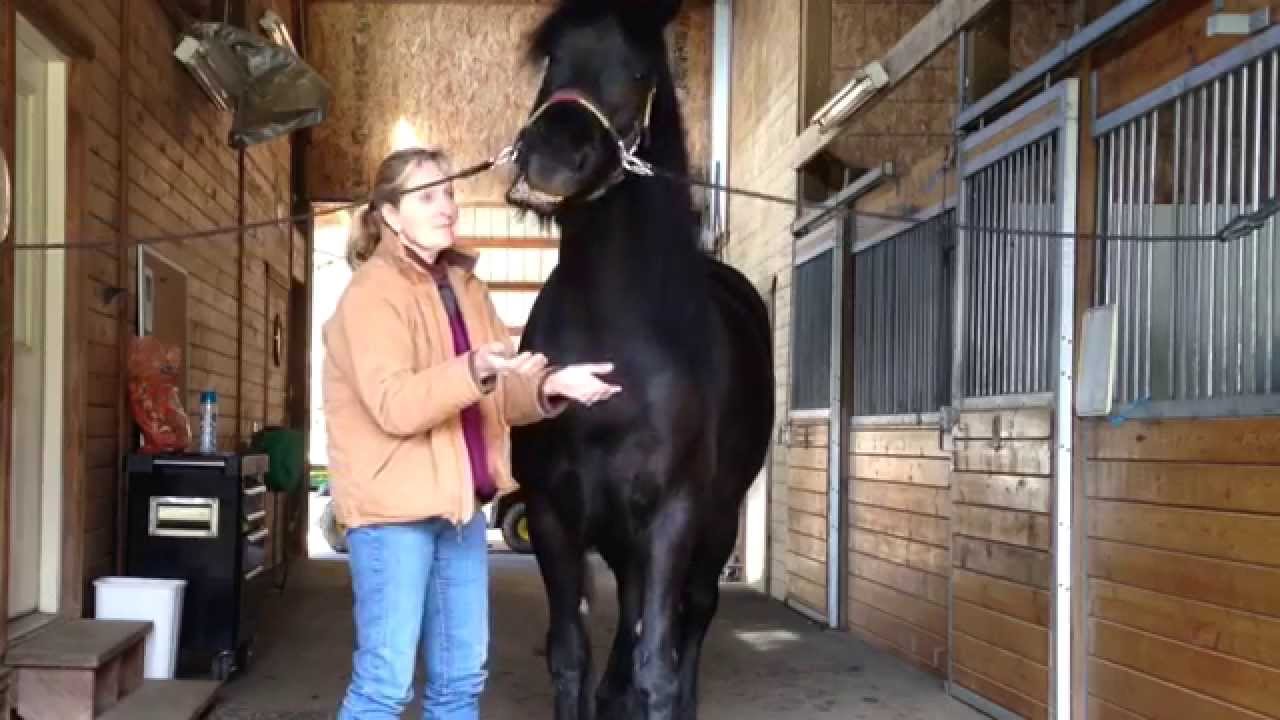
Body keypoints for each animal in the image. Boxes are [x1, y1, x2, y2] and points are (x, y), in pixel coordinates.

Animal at [502, 2, 775, 719]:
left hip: (714, 521)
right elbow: (571, 655)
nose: (552, 156)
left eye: (638, 70)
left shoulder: (671, 516)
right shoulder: (552, 513)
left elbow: (658, 665)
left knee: (692, 618)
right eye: (553, 56)